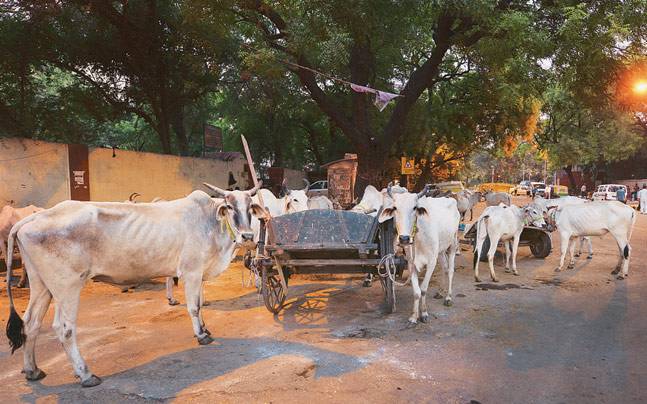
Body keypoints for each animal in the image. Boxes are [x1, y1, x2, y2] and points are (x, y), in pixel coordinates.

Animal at [5, 183, 264, 387]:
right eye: (230, 206)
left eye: (250, 207)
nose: (248, 237)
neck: (210, 223)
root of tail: (35, 217)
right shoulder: (191, 271)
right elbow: (194, 307)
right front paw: (201, 335)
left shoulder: (199, 273)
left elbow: (200, 304)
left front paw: (205, 329)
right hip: (66, 287)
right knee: (64, 328)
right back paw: (86, 374)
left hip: (41, 285)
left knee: (31, 324)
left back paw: (32, 370)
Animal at [379, 184, 460, 324]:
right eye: (395, 208)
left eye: (415, 208)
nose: (404, 239)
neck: (418, 237)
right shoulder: (411, 263)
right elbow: (416, 292)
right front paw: (413, 316)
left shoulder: (431, 262)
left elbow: (423, 289)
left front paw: (424, 313)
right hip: (440, 250)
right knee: (444, 268)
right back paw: (440, 292)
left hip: (453, 244)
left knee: (450, 270)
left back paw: (448, 297)